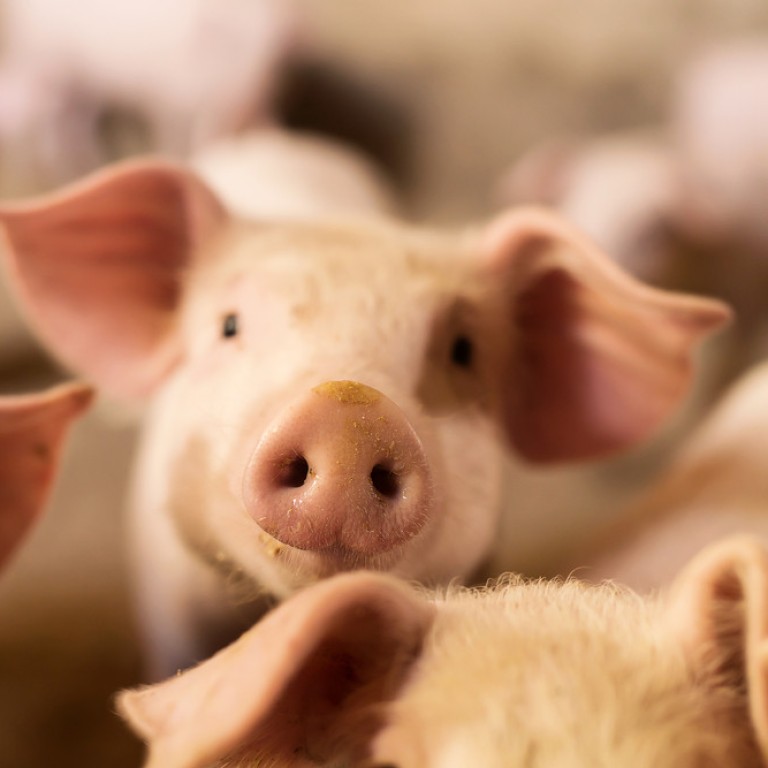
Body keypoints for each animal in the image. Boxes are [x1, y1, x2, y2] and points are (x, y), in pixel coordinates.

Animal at [0, 0, 299, 182]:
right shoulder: (171, 101)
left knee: (72, 123)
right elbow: (179, 138)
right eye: (229, 40)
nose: (284, 41)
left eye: (273, 54)